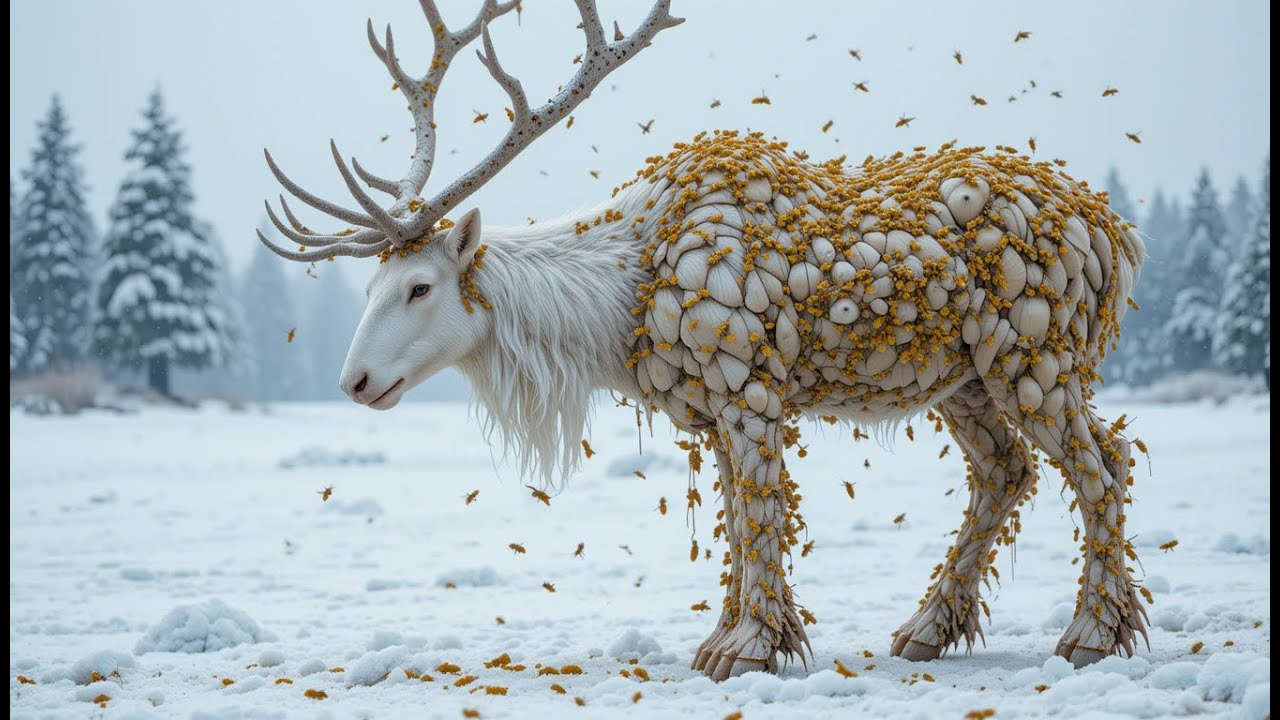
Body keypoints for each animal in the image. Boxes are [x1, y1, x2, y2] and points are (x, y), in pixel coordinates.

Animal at [256, 0, 1150, 681]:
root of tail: (1115, 238)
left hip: (1035, 355)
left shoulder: (751, 390)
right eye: (368, 288)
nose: (355, 381)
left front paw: (751, 647)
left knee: (1103, 463)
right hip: (963, 379)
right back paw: (927, 628)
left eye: (419, 286)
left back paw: (1092, 634)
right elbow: (734, 520)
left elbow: (760, 513)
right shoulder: (711, 411)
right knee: (1006, 470)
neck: (613, 313)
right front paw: (732, 635)